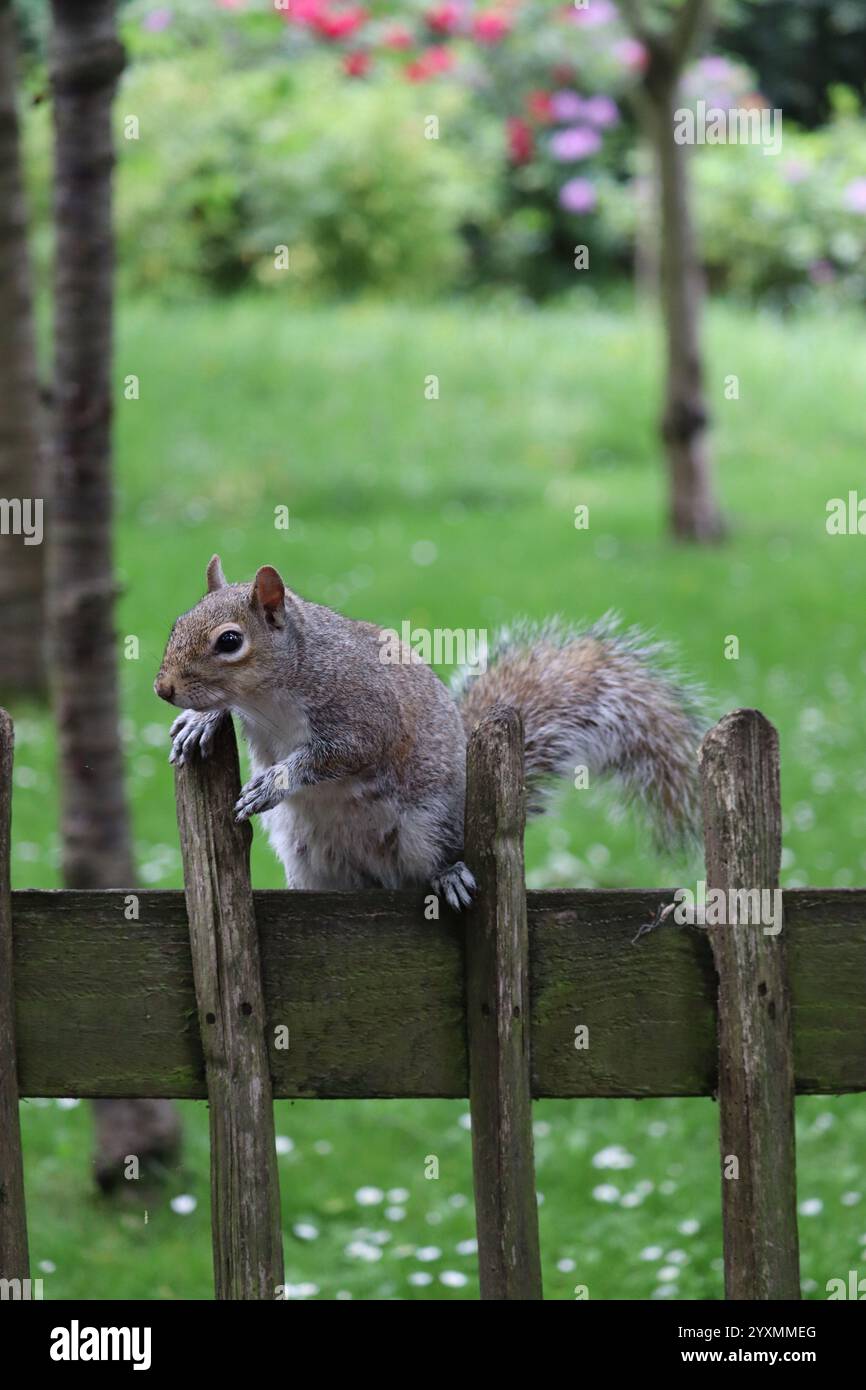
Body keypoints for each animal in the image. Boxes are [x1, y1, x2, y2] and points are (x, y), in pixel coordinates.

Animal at [155, 556, 705, 909]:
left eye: (230, 641)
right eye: (176, 624)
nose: (163, 688)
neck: (268, 695)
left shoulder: (364, 712)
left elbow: (337, 753)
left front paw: (273, 781)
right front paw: (200, 723)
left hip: (428, 824)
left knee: (437, 856)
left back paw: (450, 875)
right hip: (309, 856)